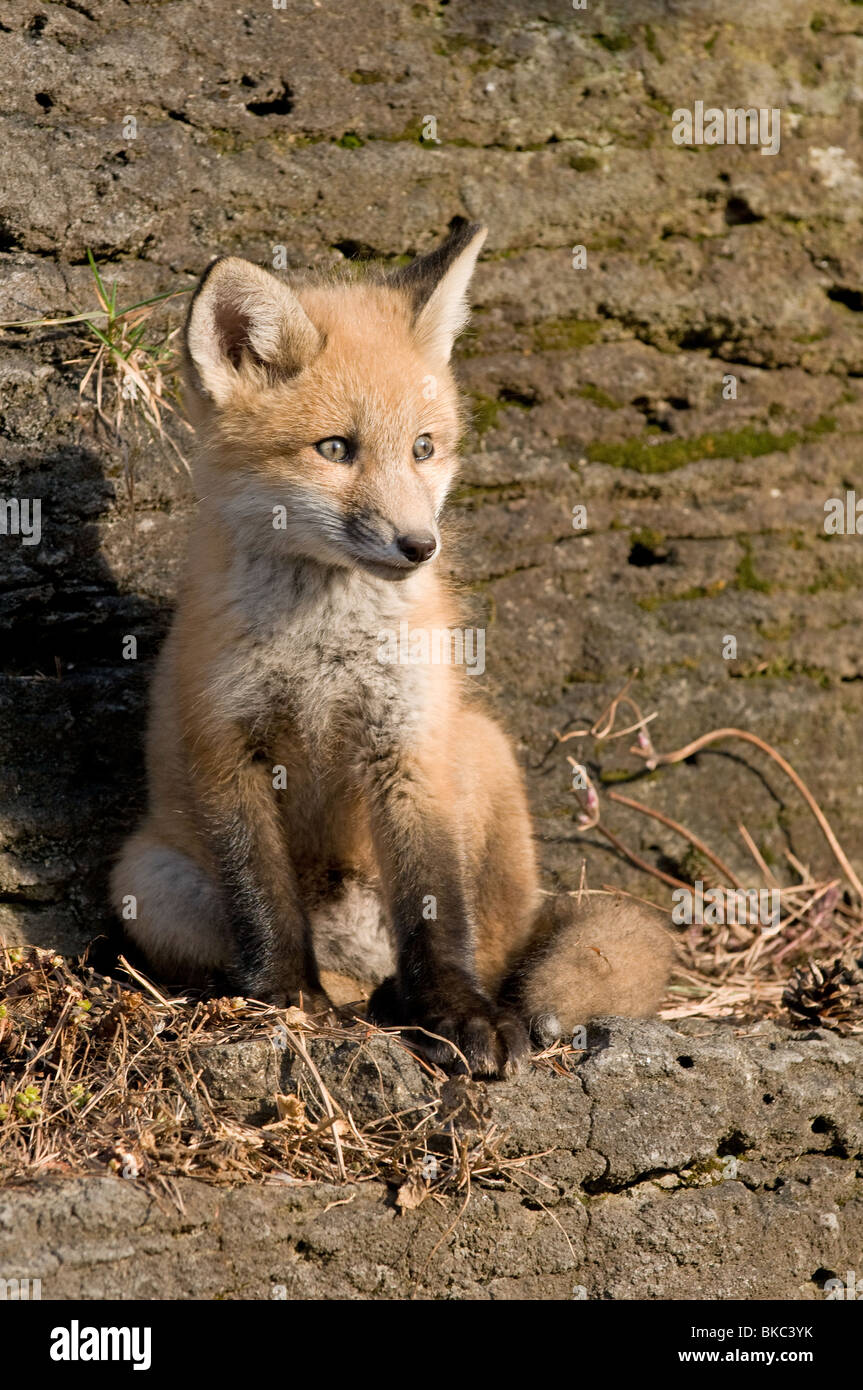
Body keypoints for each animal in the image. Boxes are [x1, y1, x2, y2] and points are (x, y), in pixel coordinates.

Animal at [111, 222, 673, 1077]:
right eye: (334, 448)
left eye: (423, 448)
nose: (419, 546)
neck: (323, 643)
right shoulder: (225, 746)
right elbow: (261, 898)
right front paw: (281, 997)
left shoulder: (407, 746)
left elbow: (435, 915)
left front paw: (459, 1016)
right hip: (146, 880)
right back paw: (340, 998)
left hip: (476, 751)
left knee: (488, 951)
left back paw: (417, 1000)